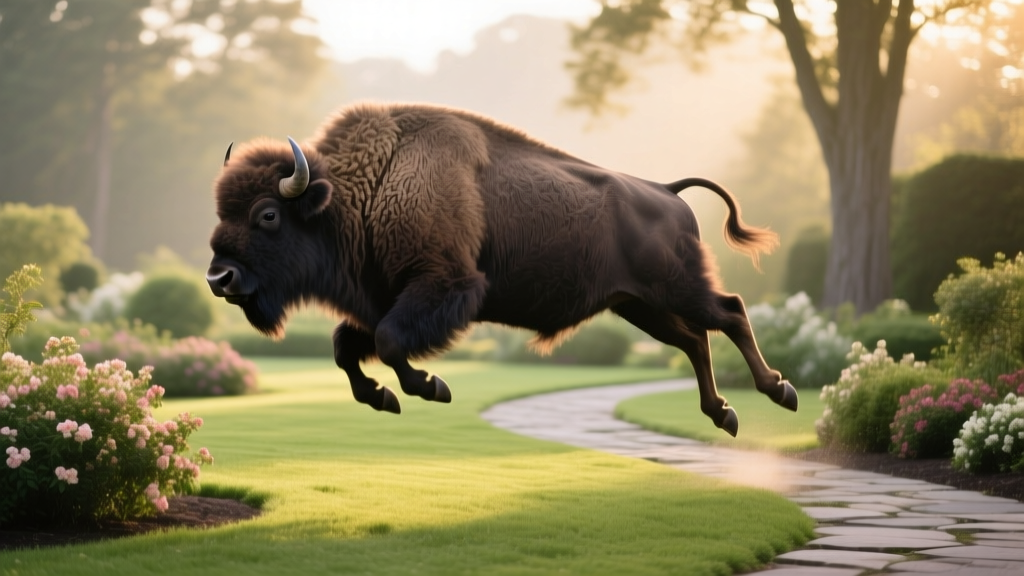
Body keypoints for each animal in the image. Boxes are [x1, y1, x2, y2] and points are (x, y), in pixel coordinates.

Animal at [206, 102, 797, 436]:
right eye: (221, 212)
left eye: (267, 214)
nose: (218, 278)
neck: (365, 191)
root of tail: (667, 193)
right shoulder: (377, 305)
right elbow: (345, 348)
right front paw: (384, 397)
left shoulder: (444, 287)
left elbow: (393, 343)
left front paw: (431, 386)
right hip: (638, 306)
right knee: (695, 339)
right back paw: (723, 413)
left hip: (676, 289)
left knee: (730, 313)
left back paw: (778, 391)